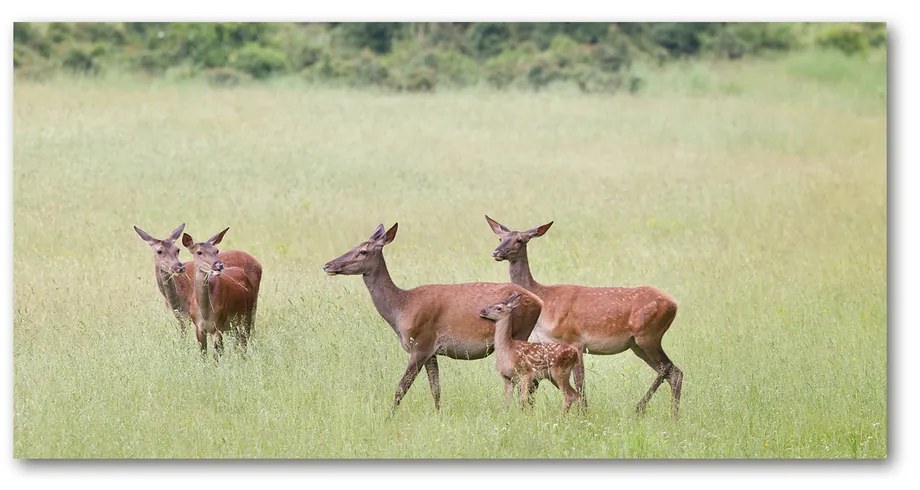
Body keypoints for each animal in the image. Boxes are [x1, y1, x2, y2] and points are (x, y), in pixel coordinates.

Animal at [181, 226, 262, 356]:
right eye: (199, 252)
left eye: (216, 250)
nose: (219, 265)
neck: (205, 312)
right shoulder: (199, 327)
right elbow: (203, 354)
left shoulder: (218, 324)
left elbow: (217, 355)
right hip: (233, 323)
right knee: (238, 341)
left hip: (249, 312)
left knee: (245, 340)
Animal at [324, 224, 544, 412]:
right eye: (354, 246)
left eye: (363, 251)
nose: (327, 265)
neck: (401, 309)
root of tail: (539, 302)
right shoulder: (432, 352)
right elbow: (436, 390)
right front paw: (439, 415)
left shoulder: (421, 344)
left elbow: (401, 388)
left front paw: (388, 417)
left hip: (520, 332)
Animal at [488, 215, 684, 418]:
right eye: (500, 238)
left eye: (520, 240)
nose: (496, 252)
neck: (544, 300)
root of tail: (674, 304)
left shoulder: (574, 340)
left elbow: (580, 381)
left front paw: (584, 414)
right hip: (637, 344)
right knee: (673, 372)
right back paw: (673, 415)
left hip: (648, 336)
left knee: (669, 369)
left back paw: (643, 408)